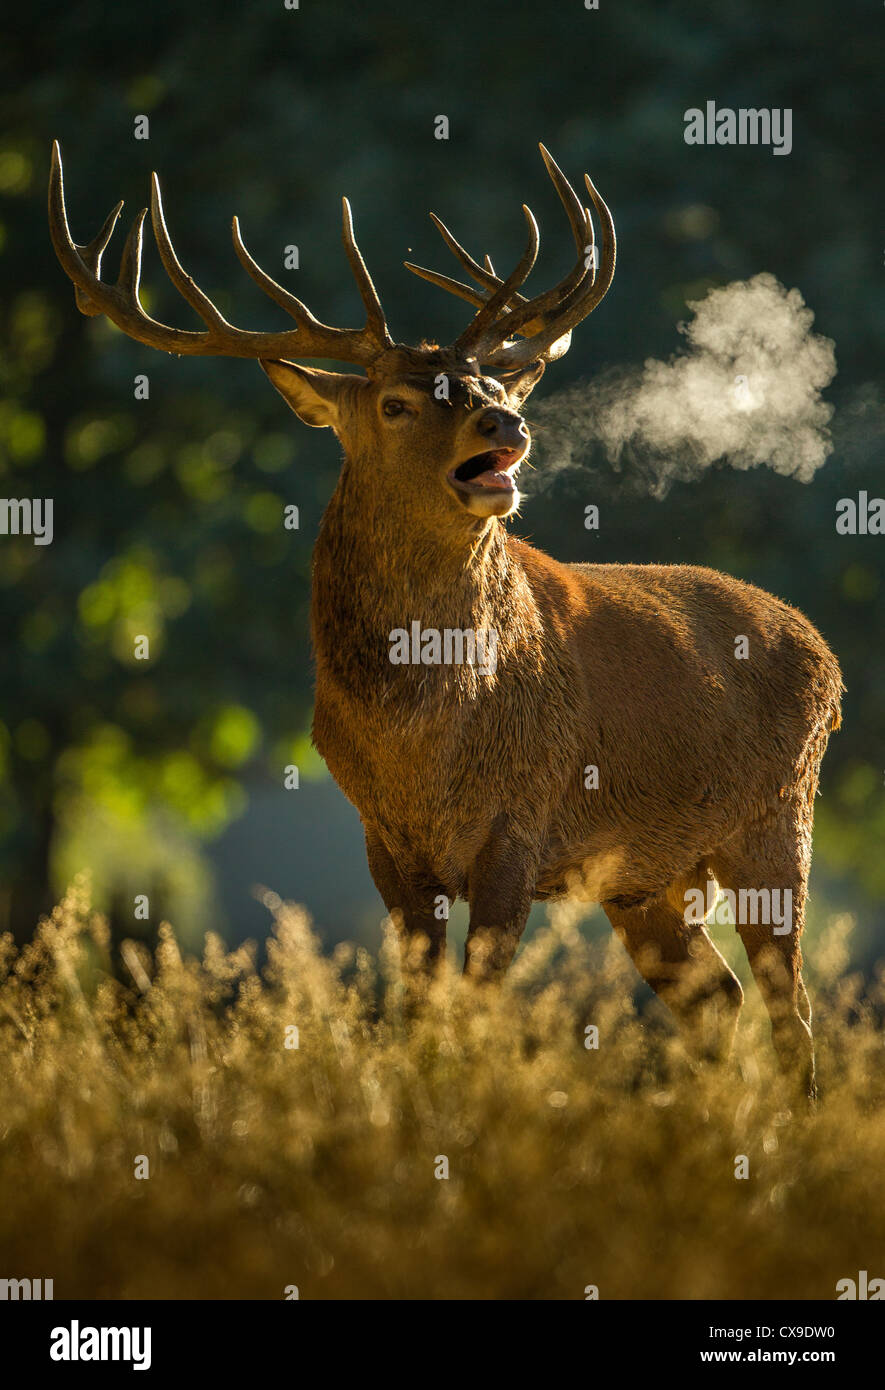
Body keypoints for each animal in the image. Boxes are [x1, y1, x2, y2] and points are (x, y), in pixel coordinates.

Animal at [49, 141, 842, 1099]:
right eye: (395, 401)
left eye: (490, 382)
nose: (505, 419)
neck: (421, 735)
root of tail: (825, 654)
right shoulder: (386, 842)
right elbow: (420, 1018)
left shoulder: (519, 823)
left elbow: (473, 1015)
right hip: (647, 878)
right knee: (717, 1001)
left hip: (778, 818)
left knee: (791, 1016)